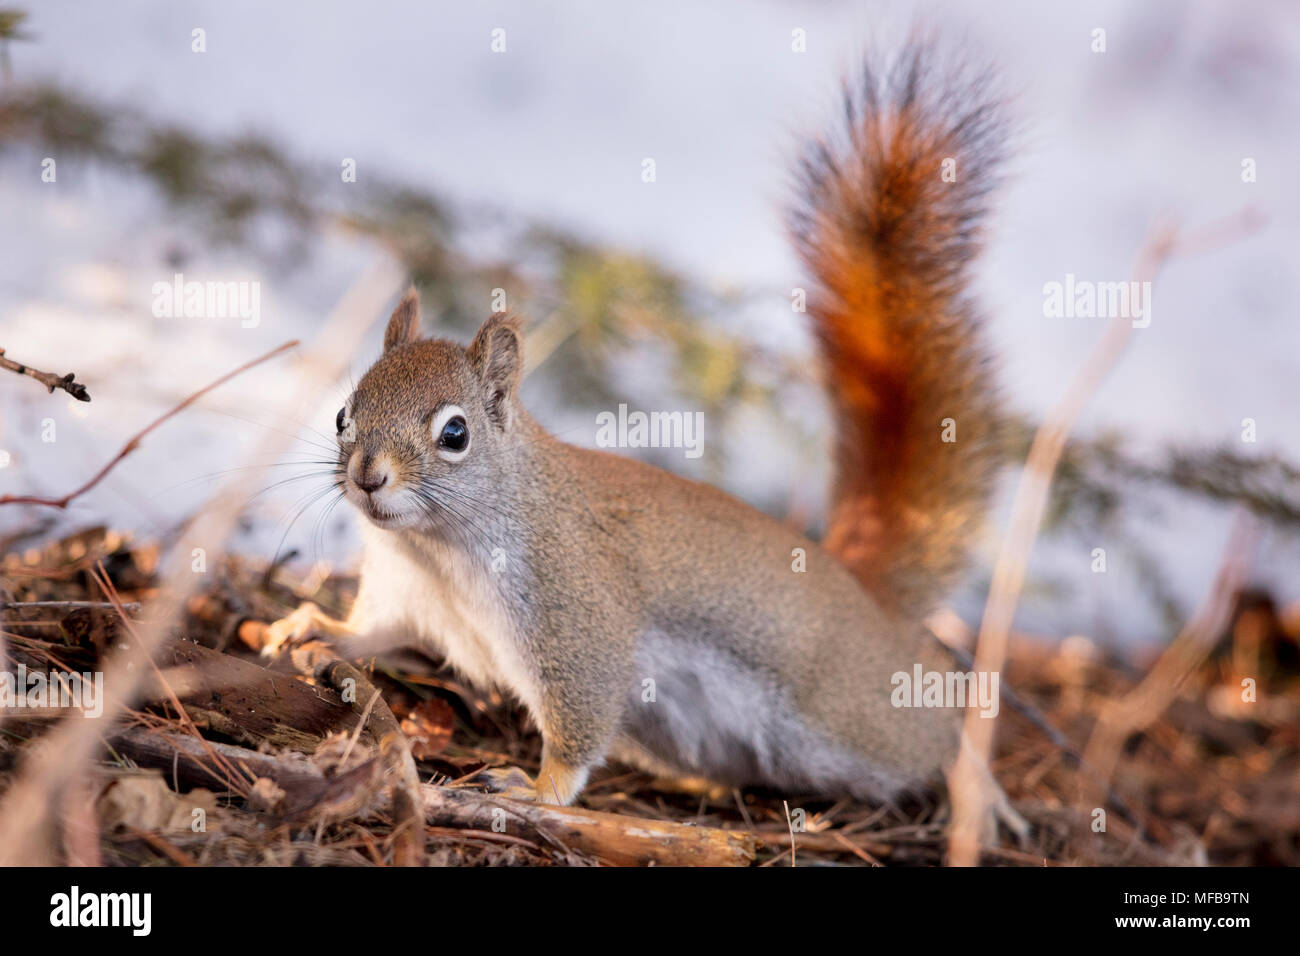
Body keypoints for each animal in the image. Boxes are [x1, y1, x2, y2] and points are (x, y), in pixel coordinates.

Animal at [267, 43, 1027, 839]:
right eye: (344, 413)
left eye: (455, 433)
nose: (367, 476)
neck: (441, 548)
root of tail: (864, 595)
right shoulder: (407, 594)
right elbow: (373, 630)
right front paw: (312, 624)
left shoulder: (578, 614)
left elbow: (580, 720)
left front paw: (536, 788)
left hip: (853, 716)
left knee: (936, 721)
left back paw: (982, 792)